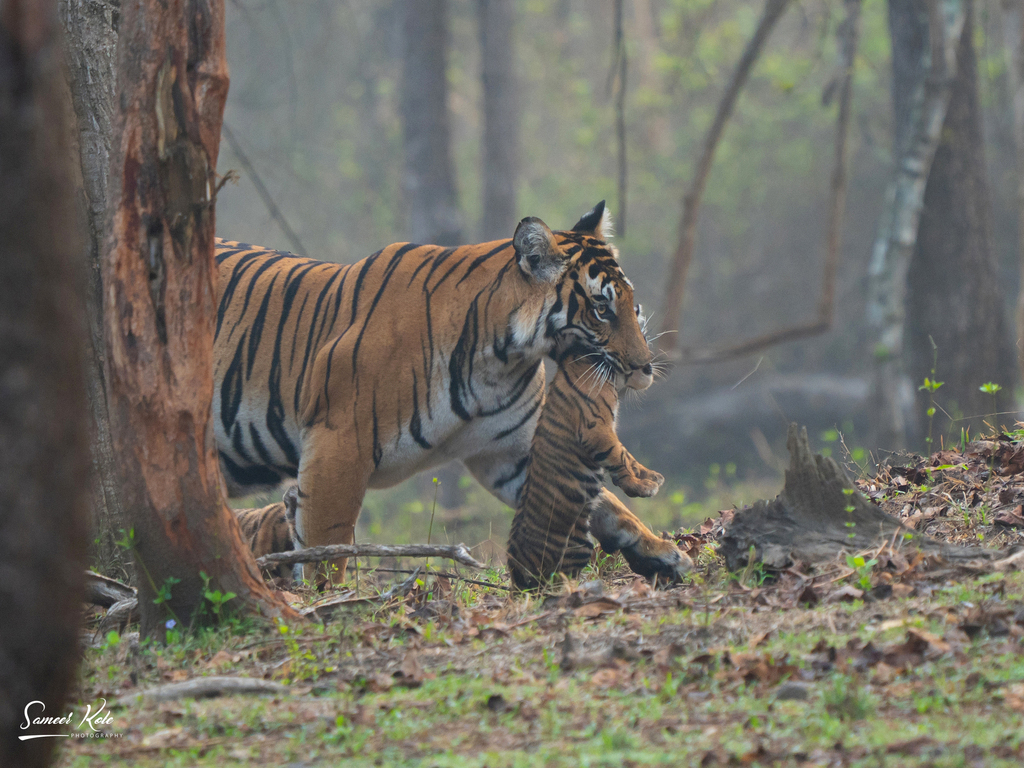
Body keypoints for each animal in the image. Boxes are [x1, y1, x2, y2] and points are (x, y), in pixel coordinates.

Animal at [506, 337, 688, 589]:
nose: (649, 367)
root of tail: (515, 570)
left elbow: (628, 456)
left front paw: (651, 477)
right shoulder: (597, 430)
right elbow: (620, 455)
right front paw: (643, 487)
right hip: (573, 548)